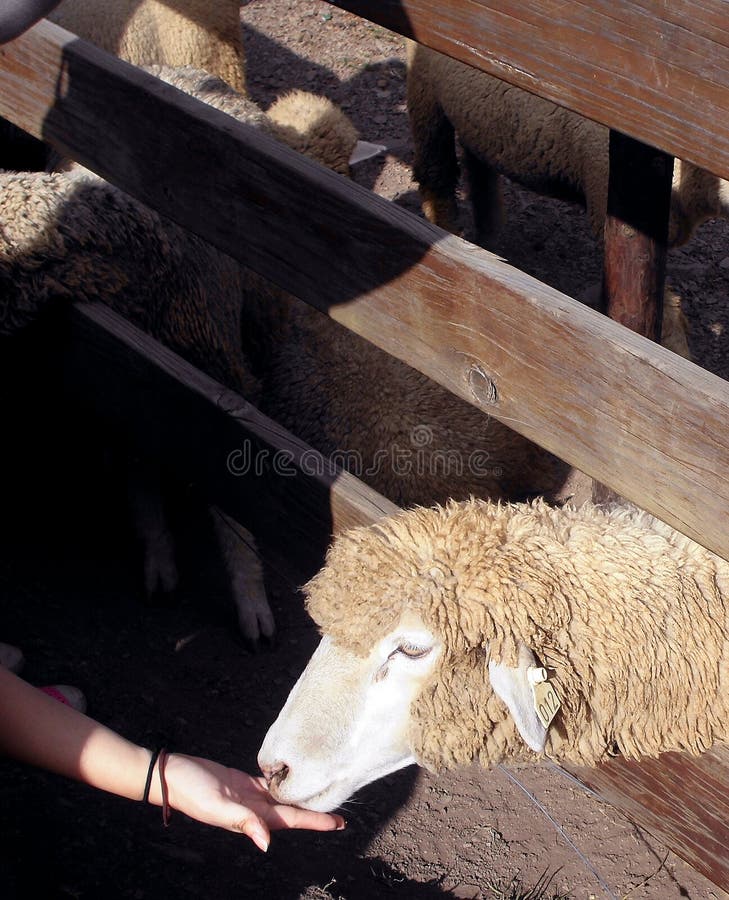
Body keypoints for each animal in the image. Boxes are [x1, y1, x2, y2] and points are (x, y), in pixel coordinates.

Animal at [0, 64, 359, 645]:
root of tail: (179, 71)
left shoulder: (221, 387)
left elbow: (233, 507)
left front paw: (251, 602)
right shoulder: (123, 387)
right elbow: (142, 477)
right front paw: (159, 559)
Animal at [405, 42, 726, 359]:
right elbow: (665, 317)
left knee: (479, 167)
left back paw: (487, 238)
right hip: (425, 90)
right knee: (436, 173)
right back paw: (447, 238)